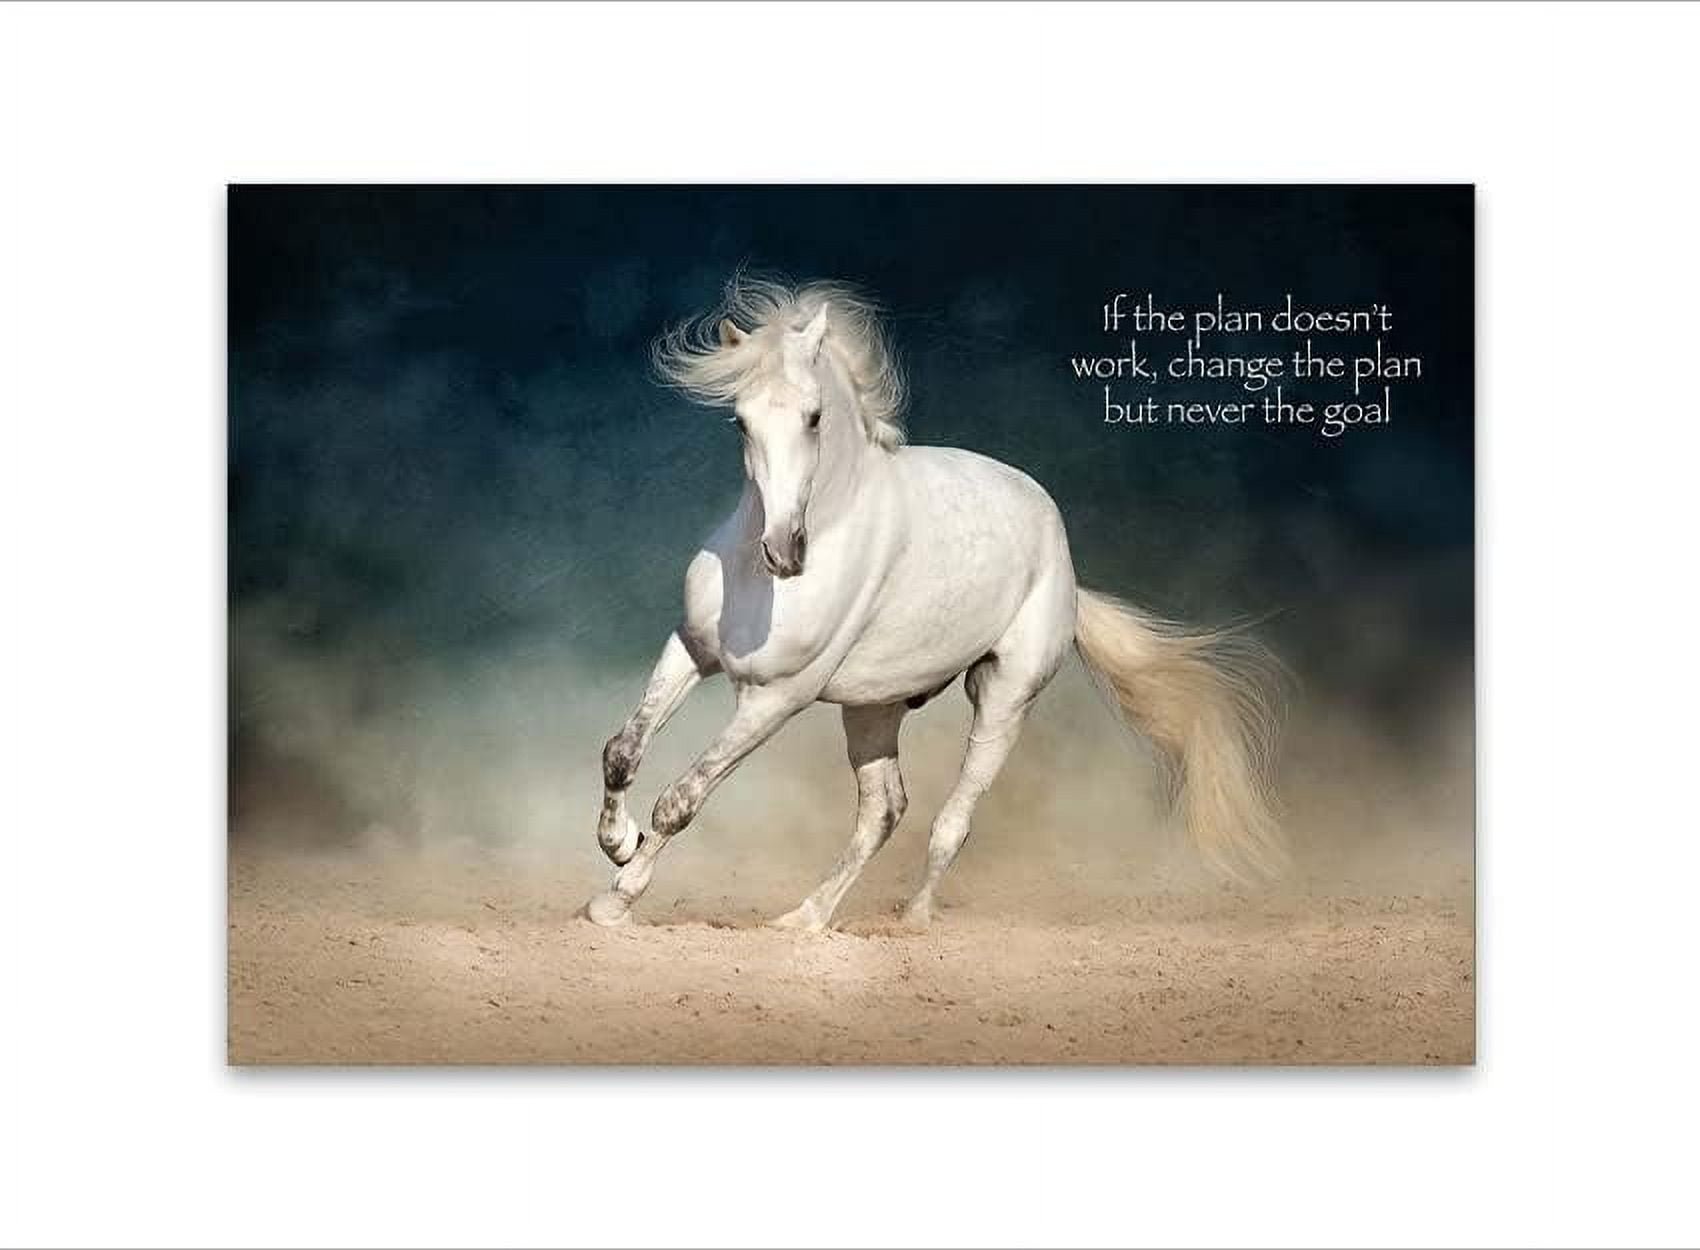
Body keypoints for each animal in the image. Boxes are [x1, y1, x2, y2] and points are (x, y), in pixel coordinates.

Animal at [586, 277, 1284, 930]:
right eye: (739, 420)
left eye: (814, 417)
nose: (783, 552)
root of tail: (1064, 563)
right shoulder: (692, 649)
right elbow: (623, 750)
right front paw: (618, 845)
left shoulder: (776, 698)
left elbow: (682, 798)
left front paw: (614, 899)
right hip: (872, 708)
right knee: (883, 811)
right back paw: (804, 920)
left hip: (1003, 697)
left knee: (952, 819)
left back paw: (912, 920)